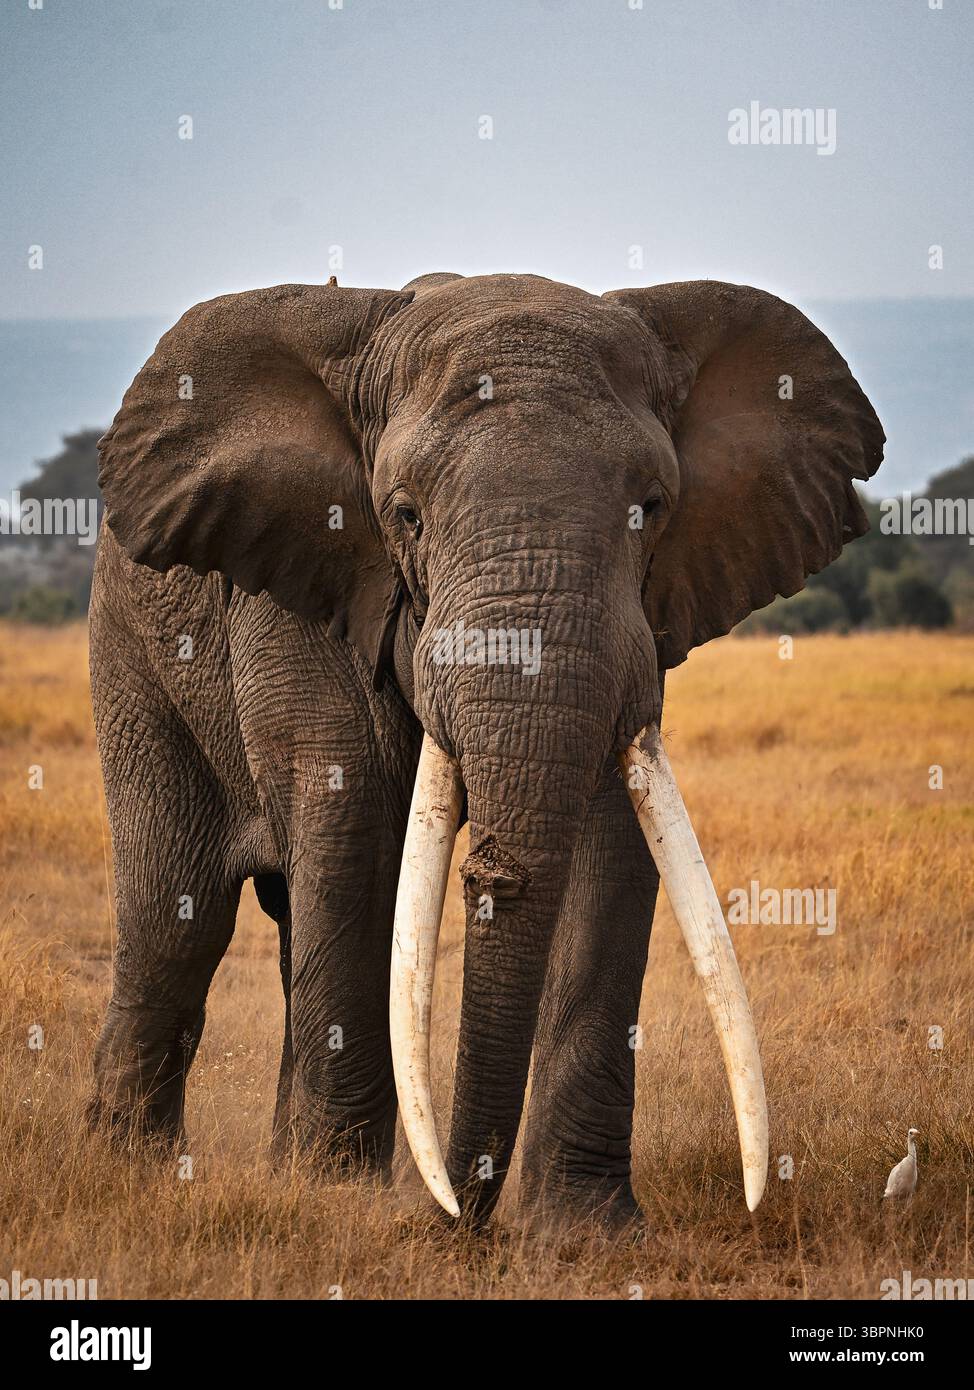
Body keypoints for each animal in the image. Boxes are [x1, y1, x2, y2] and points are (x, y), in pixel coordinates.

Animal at [89, 271, 884, 1232]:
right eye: (404, 515)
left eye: (651, 509)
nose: (463, 1220)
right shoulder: (303, 589)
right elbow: (354, 829)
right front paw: (342, 1203)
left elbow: (611, 846)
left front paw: (584, 1235)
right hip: (134, 656)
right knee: (178, 922)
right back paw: (130, 1171)